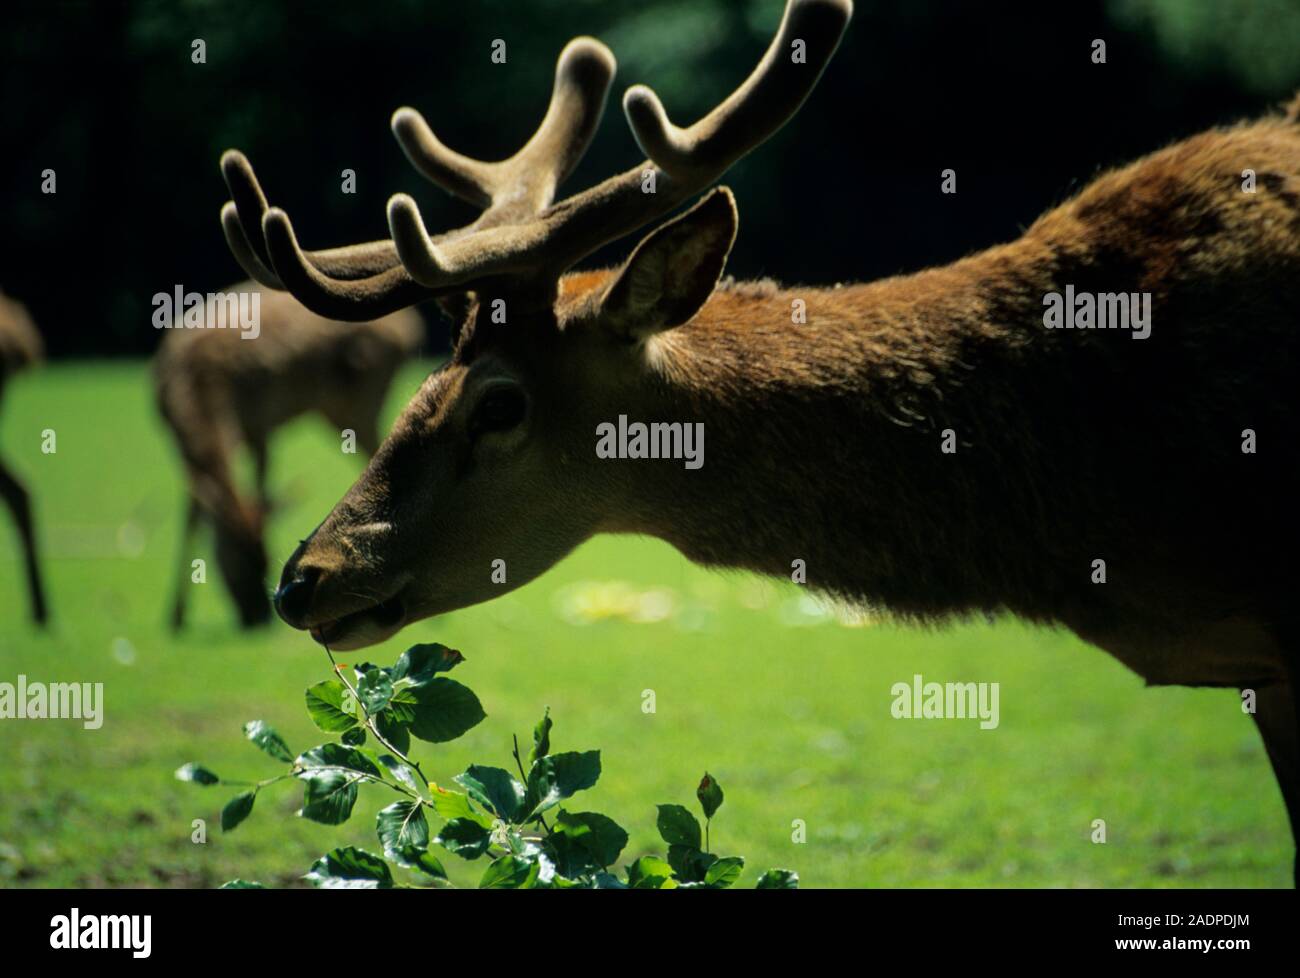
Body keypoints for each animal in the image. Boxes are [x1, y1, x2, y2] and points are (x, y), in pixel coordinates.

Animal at [154, 282, 423, 629]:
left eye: (263, 558)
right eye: (237, 560)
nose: (258, 618)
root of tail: (411, 328)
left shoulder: (261, 421)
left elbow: (257, 490)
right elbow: (195, 513)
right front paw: (175, 617)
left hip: (361, 402)